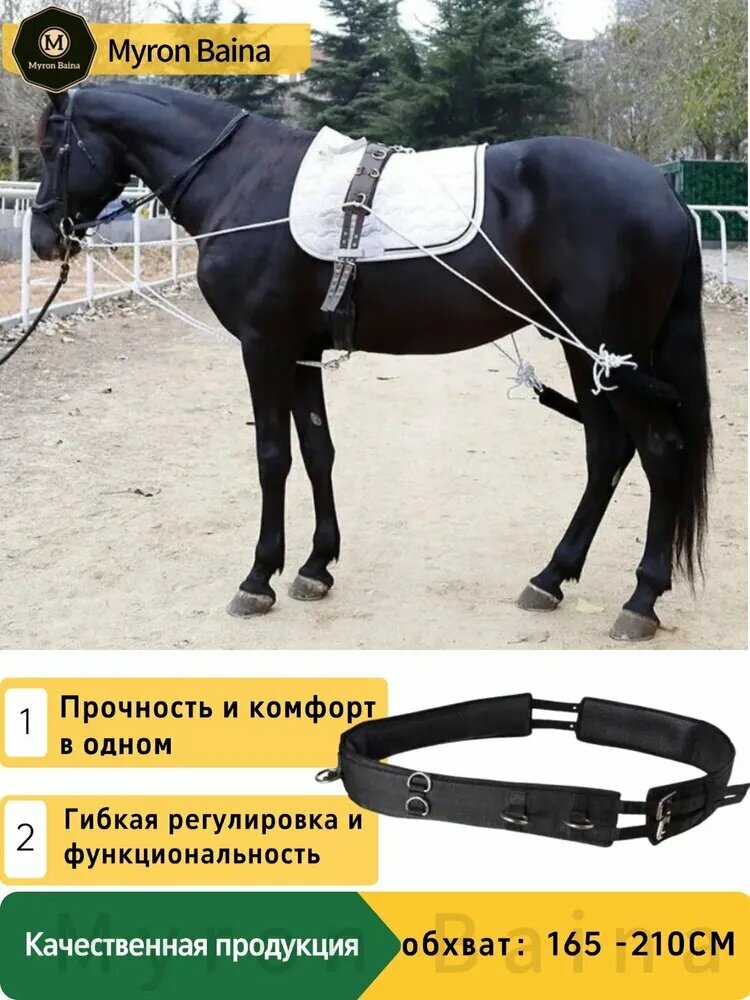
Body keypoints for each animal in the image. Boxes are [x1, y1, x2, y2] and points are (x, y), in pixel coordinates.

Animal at [30, 82, 711, 642]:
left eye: (49, 143)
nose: (42, 238)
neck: (245, 179)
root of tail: (667, 195)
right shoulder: (302, 352)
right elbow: (316, 450)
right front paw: (315, 566)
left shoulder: (264, 347)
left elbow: (272, 457)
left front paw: (259, 577)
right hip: (584, 353)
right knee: (608, 453)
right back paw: (551, 577)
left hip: (609, 355)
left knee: (659, 451)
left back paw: (641, 599)